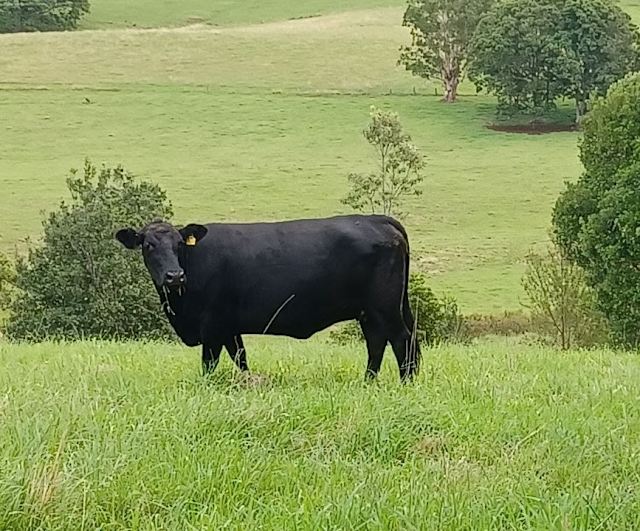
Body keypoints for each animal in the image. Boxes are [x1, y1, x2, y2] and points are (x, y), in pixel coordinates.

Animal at [115, 214, 421, 381]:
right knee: (377, 344)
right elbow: (241, 359)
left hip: (384, 308)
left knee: (401, 340)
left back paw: (404, 384)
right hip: (369, 311)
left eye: (179, 244)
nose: (174, 276)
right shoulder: (229, 328)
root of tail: (377, 219)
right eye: (148, 245)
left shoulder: (213, 325)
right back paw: (367, 383)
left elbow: (209, 364)